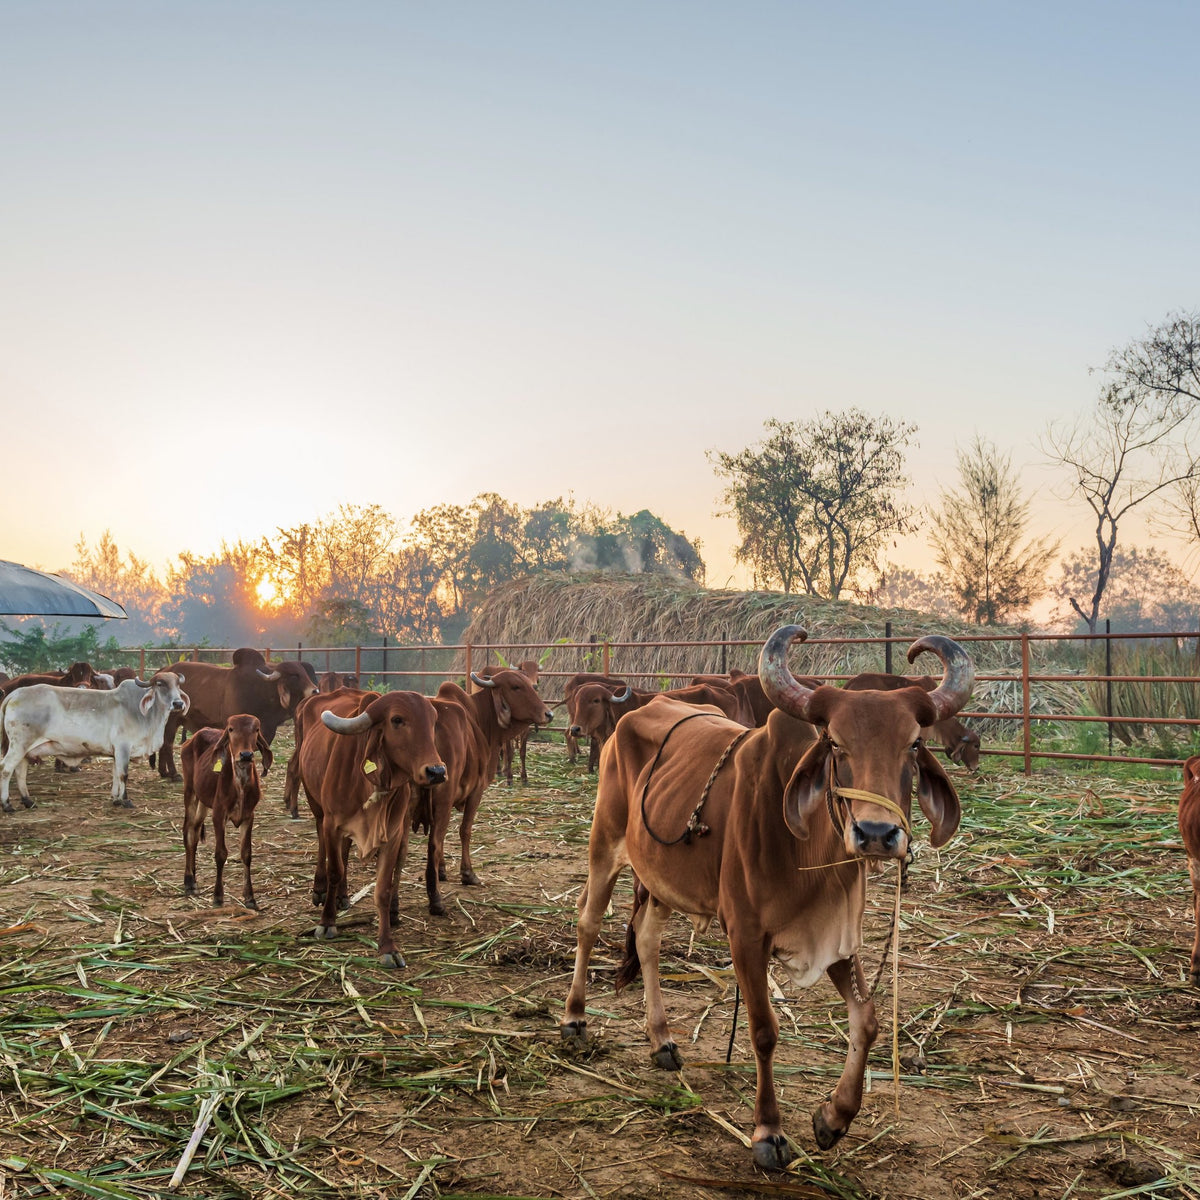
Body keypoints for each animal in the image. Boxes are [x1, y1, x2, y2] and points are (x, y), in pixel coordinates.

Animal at [1, 673, 189, 812]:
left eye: (178, 685)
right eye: (160, 684)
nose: (178, 703)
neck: (143, 713)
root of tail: (15, 693)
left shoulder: (116, 753)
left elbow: (115, 774)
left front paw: (115, 799)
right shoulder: (123, 747)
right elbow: (124, 774)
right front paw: (126, 800)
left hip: (25, 749)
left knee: (20, 771)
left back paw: (27, 800)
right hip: (19, 745)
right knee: (6, 769)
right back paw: (7, 804)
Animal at [154, 648, 317, 781]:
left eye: (304, 673)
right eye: (294, 676)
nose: (314, 690)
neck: (262, 690)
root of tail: (162, 671)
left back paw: (164, 772)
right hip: (172, 720)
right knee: (168, 744)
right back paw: (174, 774)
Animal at [181, 714, 273, 910]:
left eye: (256, 729)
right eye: (231, 729)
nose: (246, 755)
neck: (240, 785)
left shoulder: (248, 816)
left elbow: (246, 853)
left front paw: (250, 898)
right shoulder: (218, 815)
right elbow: (221, 853)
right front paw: (218, 896)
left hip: (203, 801)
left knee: (195, 831)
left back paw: (194, 875)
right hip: (190, 792)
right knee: (188, 831)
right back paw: (189, 881)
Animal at [296, 688, 446, 966]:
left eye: (432, 721)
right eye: (397, 719)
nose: (436, 771)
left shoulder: (393, 835)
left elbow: (383, 889)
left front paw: (387, 946)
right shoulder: (332, 825)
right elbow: (334, 870)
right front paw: (327, 922)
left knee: (344, 851)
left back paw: (343, 896)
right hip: (316, 806)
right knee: (323, 848)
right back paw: (320, 890)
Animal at [413, 669, 555, 915]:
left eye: (531, 685)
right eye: (516, 687)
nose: (548, 714)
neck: (478, 717)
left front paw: (443, 870)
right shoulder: (475, 791)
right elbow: (465, 831)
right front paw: (468, 874)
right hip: (441, 796)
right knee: (434, 842)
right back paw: (435, 899)